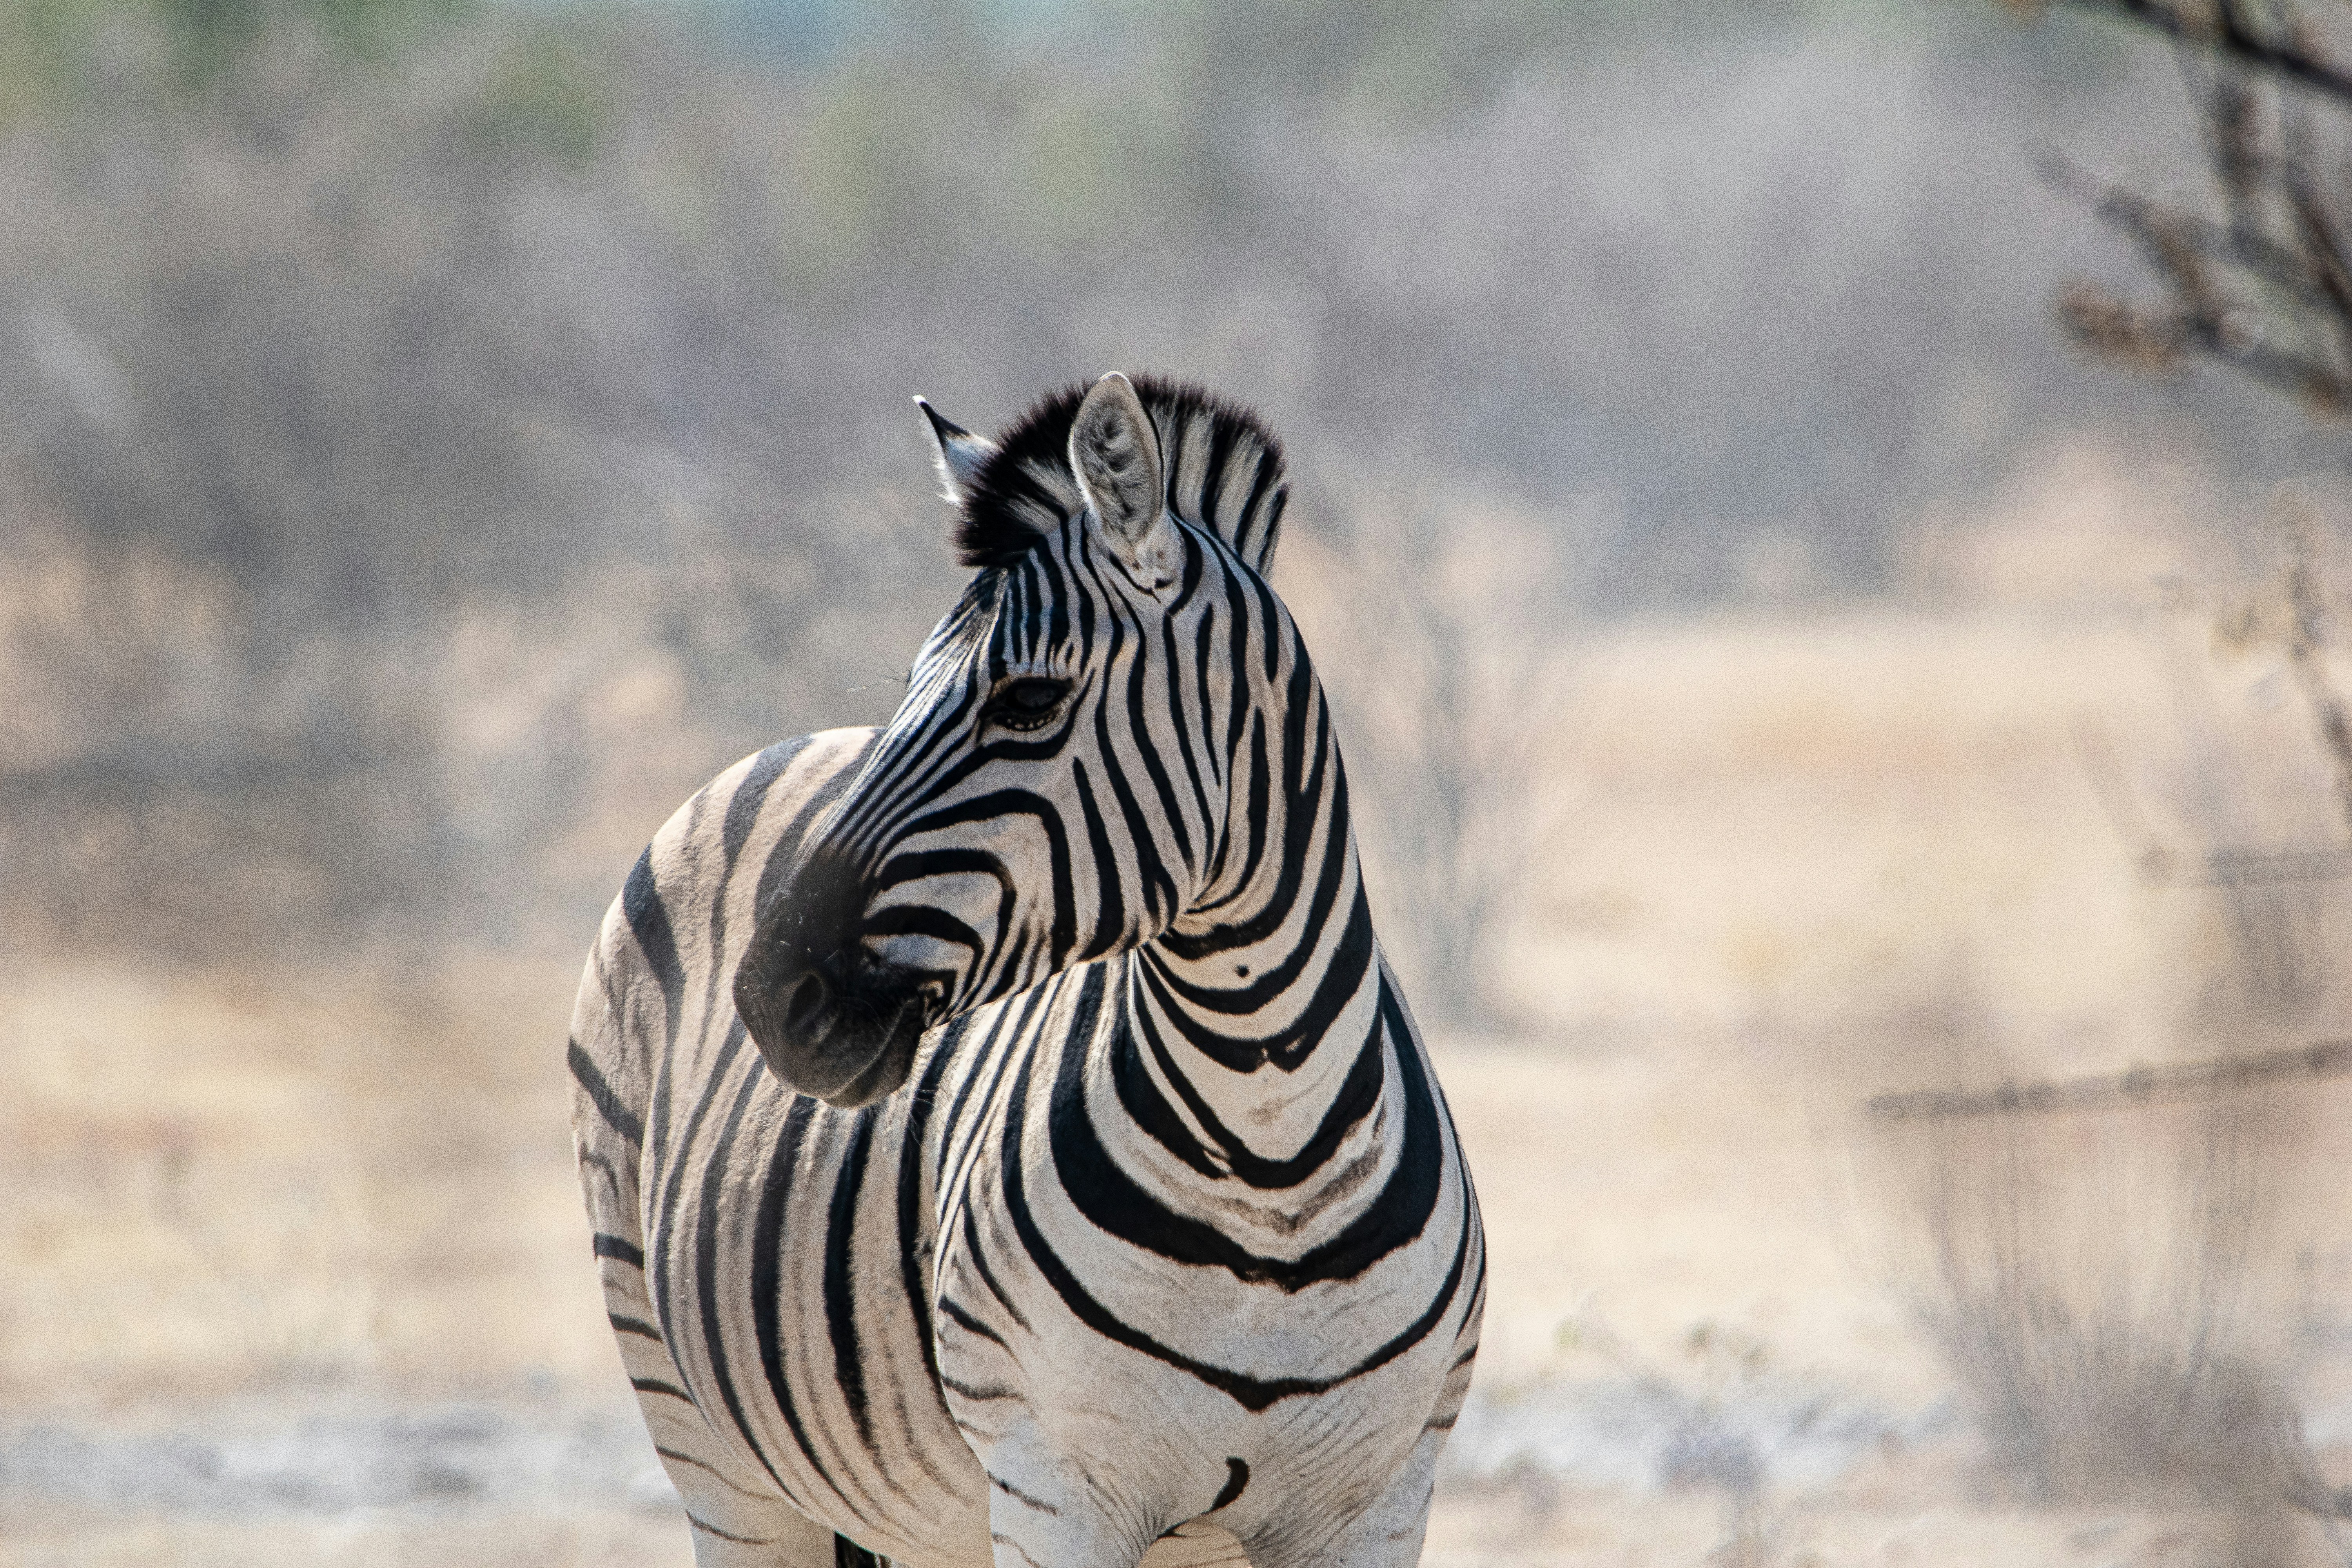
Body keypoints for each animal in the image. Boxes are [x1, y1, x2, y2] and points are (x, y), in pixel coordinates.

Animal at [569, 371, 1485, 1568]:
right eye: (913, 689)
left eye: (1031, 702)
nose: (770, 1001)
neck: (1268, 1153)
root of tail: (784, 746)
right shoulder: (1057, 1489)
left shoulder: (1379, 1503)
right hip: (710, 1450)